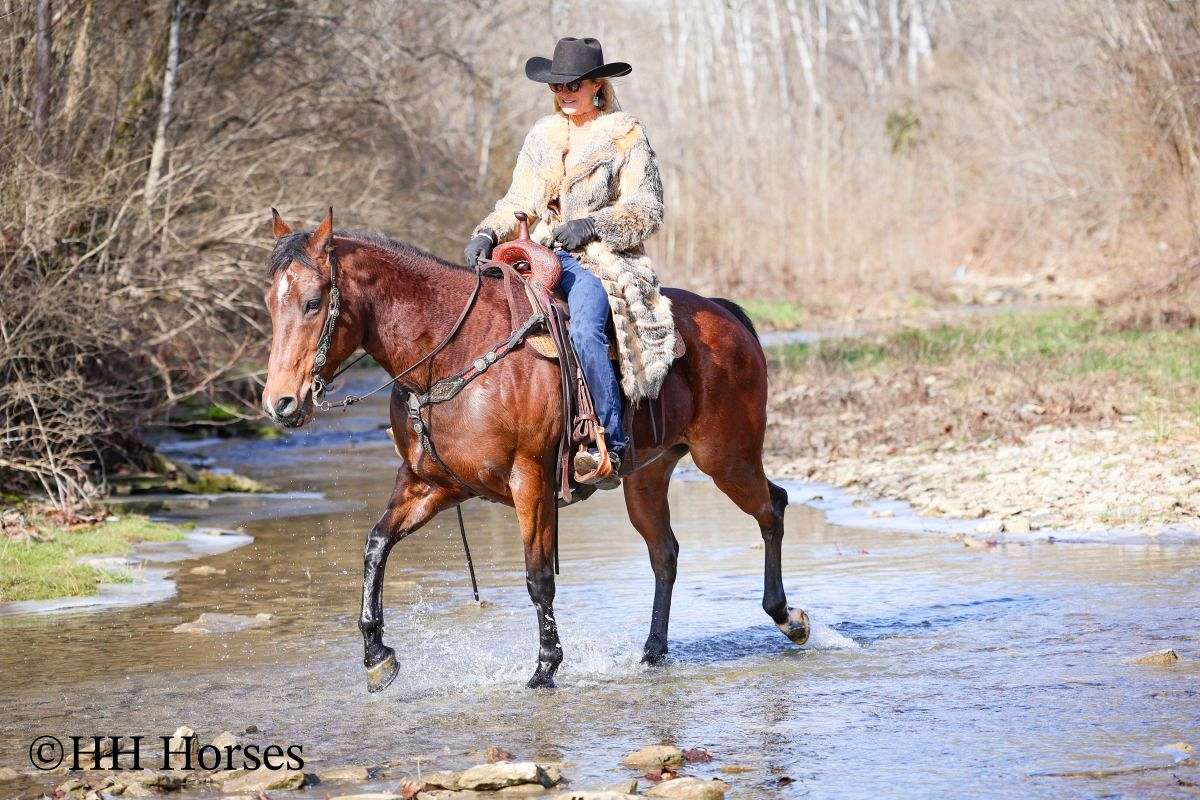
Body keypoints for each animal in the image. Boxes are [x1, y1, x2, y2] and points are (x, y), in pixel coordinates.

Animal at [262, 209, 810, 692]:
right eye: (270, 302)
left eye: (313, 302)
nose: (279, 403)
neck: (451, 355)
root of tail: (725, 315)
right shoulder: (431, 485)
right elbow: (376, 545)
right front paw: (378, 657)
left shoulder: (530, 481)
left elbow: (538, 575)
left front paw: (546, 667)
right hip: (647, 476)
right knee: (665, 553)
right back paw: (654, 651)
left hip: (725, 456)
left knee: (772, 508)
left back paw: (789, 618)